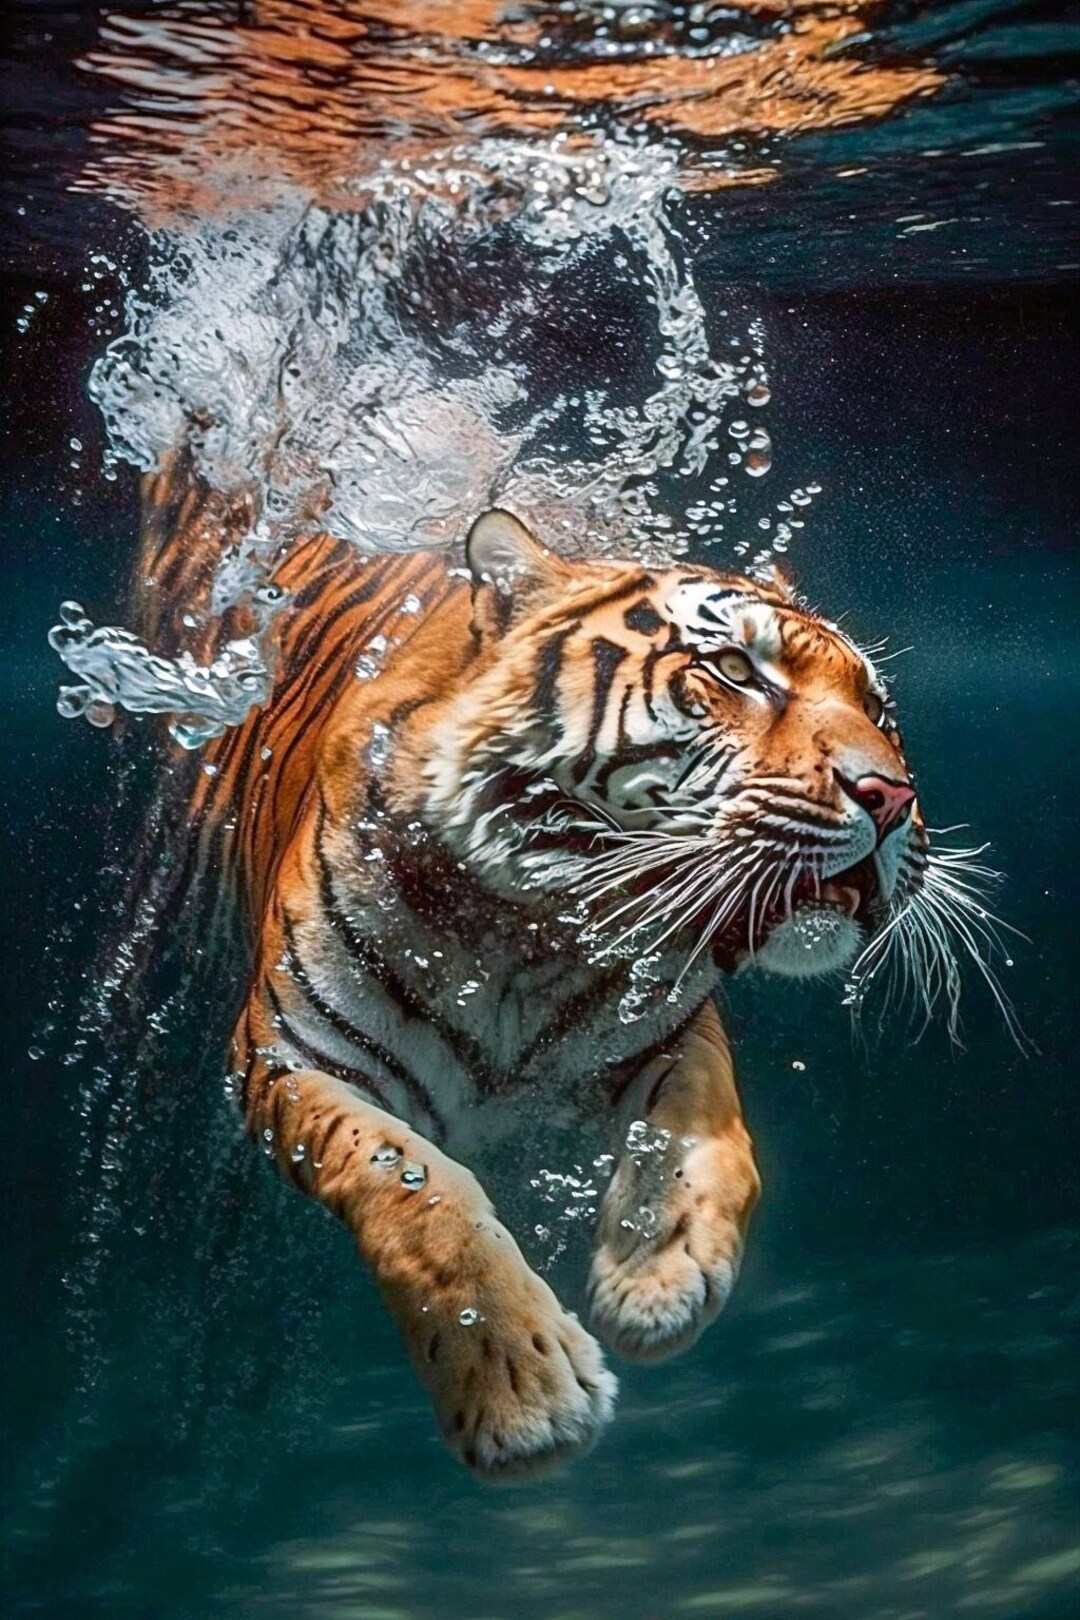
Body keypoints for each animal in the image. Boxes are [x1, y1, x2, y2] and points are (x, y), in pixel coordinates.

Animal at [135, 459, 927, 1480]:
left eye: (879, 709)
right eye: (736, 672)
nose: (893, 796)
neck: (529, 929)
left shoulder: (672, 1025)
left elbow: (706, 1135)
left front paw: (660, 1280)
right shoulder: (289, 1057)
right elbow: (417, 1190)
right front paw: (522, 1396)